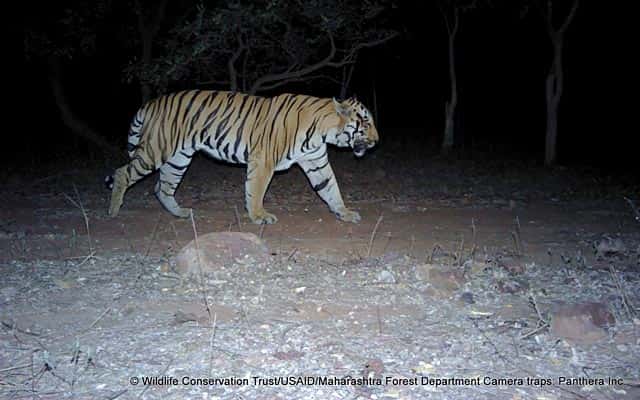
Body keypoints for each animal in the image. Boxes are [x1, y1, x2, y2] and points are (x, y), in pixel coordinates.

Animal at [106, 90, 379, 224]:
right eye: (365, 123)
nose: (377, 141)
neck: (323, 131)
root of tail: (151, 103)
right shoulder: (263, 160)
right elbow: (255, 190)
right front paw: (259, 216)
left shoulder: (315, 162)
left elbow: (331, 188)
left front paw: (345, 213)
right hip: (155, 150)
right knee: (123, 173)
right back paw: (113, 211)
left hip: (178, 158)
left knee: (161, 187)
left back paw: (181, 213)